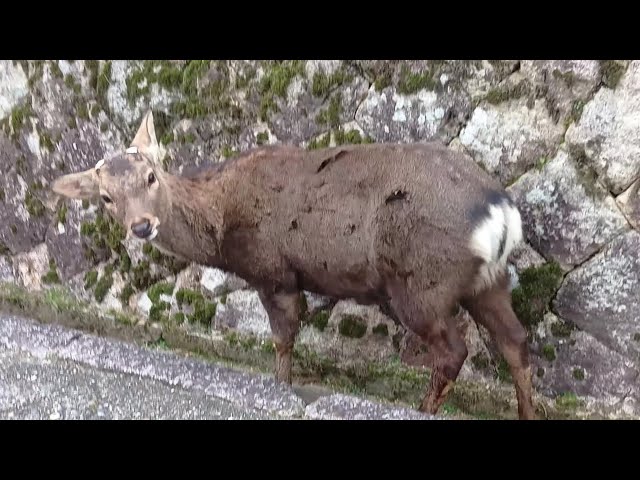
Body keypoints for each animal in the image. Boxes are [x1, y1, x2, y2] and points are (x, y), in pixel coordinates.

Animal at [51, 110, 536, 419]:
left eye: (151, 176)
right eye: (106, 197)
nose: (142, 226)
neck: (222, 225)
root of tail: (501, 212)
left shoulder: (272, 270)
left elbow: (283, 340)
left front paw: (280, 390)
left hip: (422, 282)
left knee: (454, 351)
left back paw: (422, 409)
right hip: (486, 281)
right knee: (515, 340)